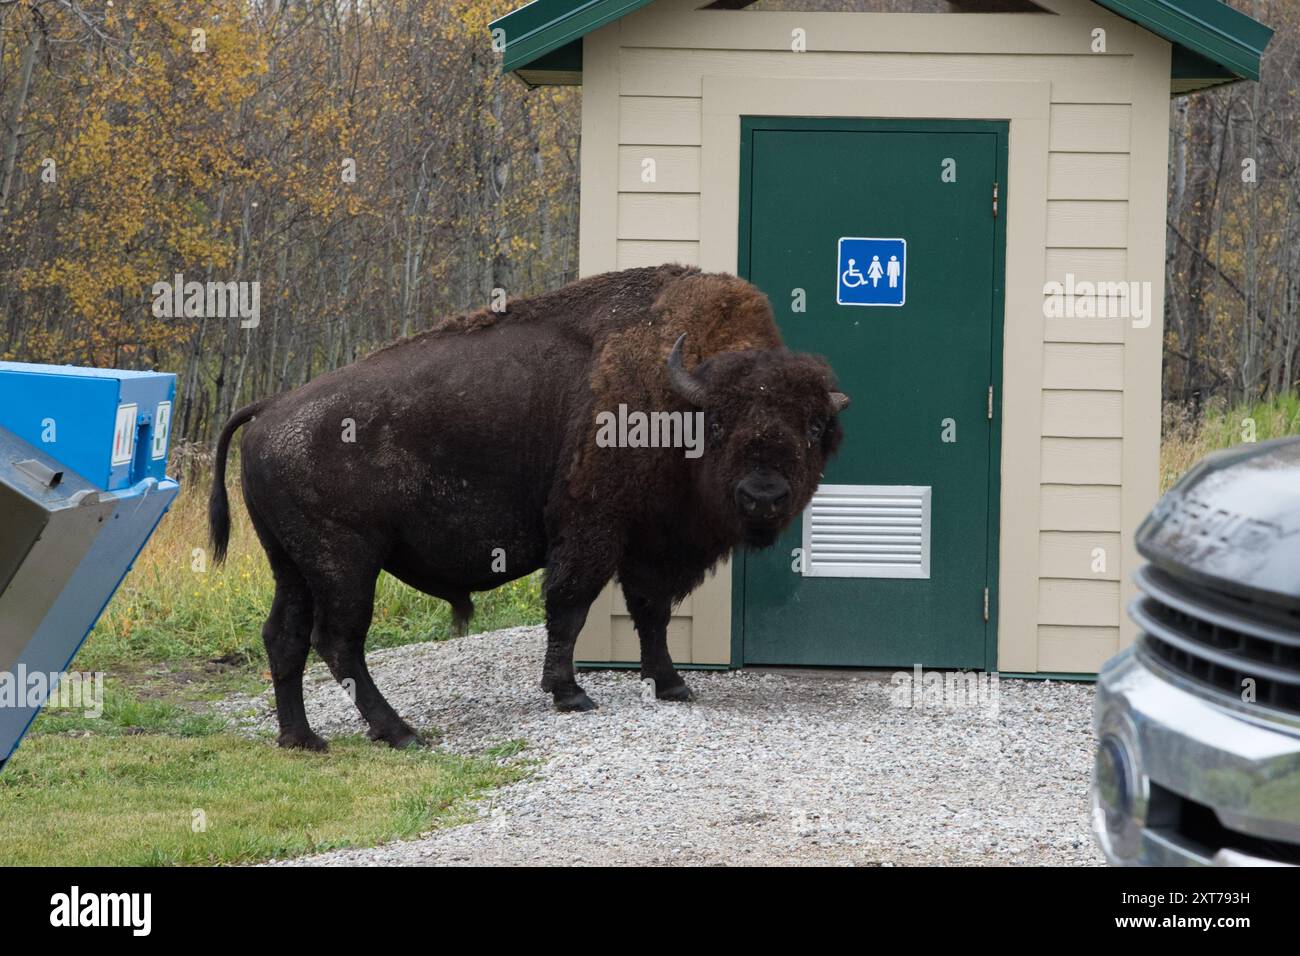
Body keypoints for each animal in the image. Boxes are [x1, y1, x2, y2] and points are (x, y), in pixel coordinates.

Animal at [209, 264, 848, 749]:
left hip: (291, 566)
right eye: (719, 424)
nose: (763, 496)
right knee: (339, 641)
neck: (673, 403)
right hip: (345, 564)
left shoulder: (649, 545)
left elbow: (652, 613)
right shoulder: (592, 531)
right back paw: (400, 732)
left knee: (285, 636)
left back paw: (303, 739)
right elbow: (571, 607)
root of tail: (269, 409)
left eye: (814, 426)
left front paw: (671, 686)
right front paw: (571, 694)